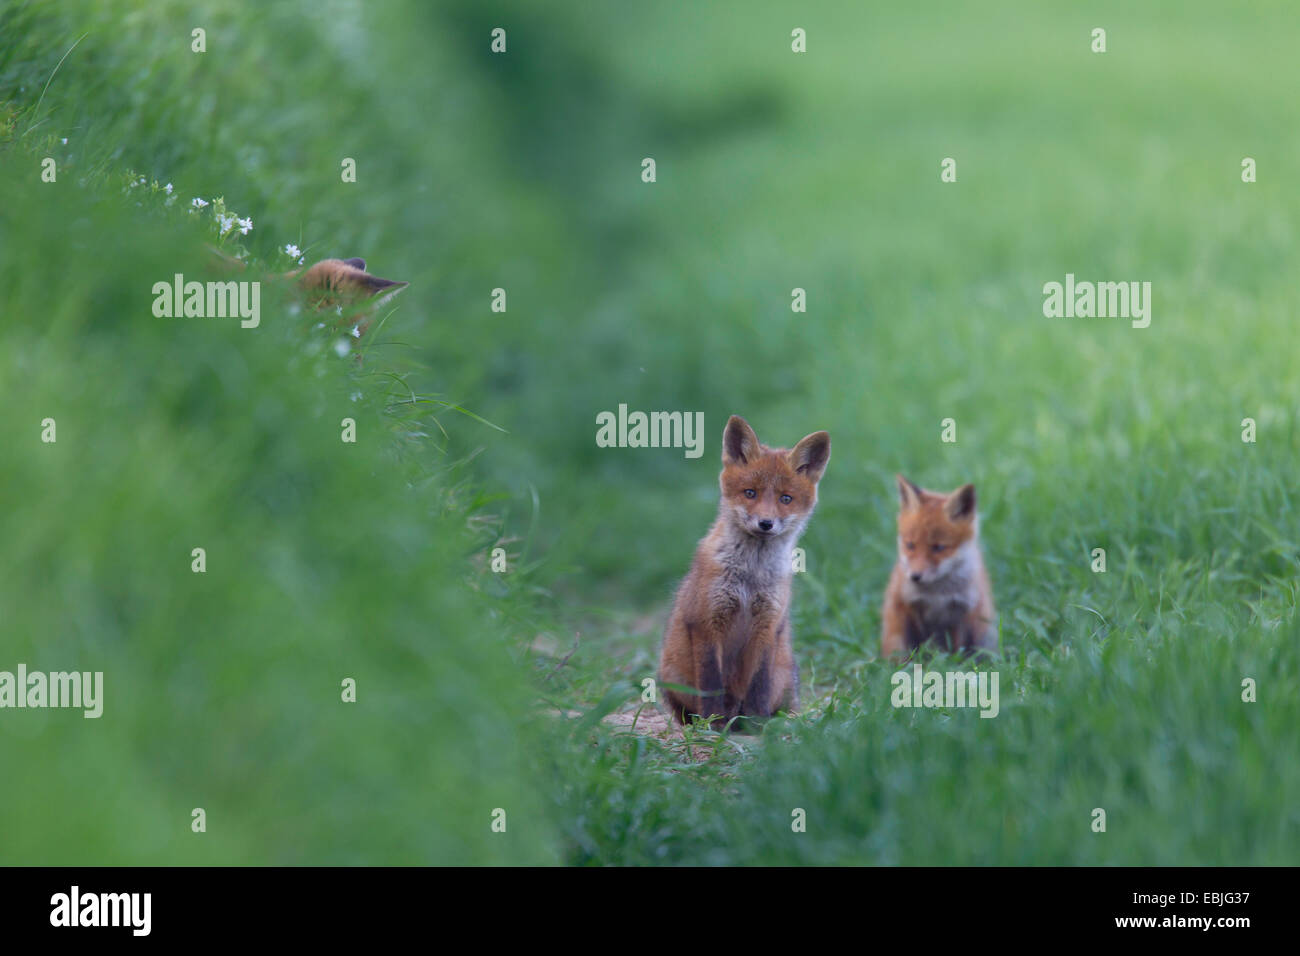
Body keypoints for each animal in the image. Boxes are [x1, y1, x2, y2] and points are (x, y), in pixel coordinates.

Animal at [659, 415, 831, 729]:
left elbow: (758, 685)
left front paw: (758, 725)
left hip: (784, 673)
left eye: (785, 498)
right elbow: (710, 683)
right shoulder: (706, 624)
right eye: (750, 493)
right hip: (670, 674)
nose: (766, 523)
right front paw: (713, 724)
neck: (752, 576)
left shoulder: (768, 626)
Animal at [881, 475, 997, 659]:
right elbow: (919, 646)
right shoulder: (910, 608)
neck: (938, 595)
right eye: (910, 545)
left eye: (938, 547)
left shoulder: (961, 612)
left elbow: (958, 649)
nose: (915, 576)